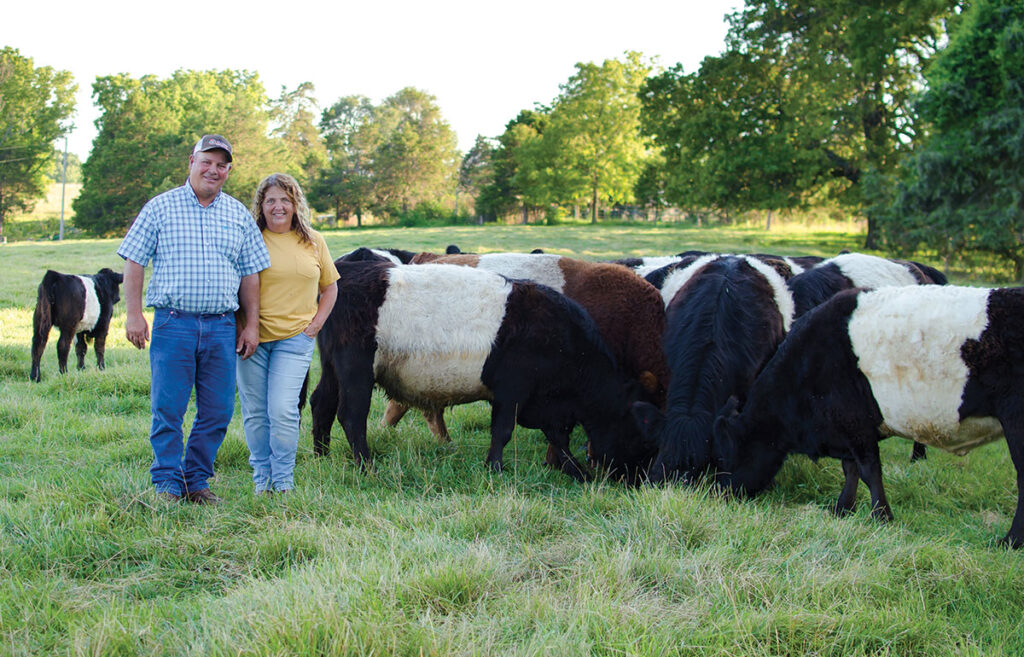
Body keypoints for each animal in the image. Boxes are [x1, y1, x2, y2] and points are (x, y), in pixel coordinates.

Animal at [307, 259, 655, 480]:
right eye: (639, 436)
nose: (637, 479)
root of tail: (343, 275)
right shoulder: (512, 391)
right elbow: (503, 431)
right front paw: (495, 469)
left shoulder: (547, 405)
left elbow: (558, 439)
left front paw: (575, 471)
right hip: (356, 369)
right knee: (351, 416)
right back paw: (366, 467)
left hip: (333, 369)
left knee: (321, 403)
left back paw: (322, 455)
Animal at [716, 284, 1024, 544]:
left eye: (725, 453)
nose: (719, 493)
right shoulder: (846, 431)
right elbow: (850, 469)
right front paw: (842, 509)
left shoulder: (855, 424)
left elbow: (869, 470)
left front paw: (881, 516)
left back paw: (1011, 541)